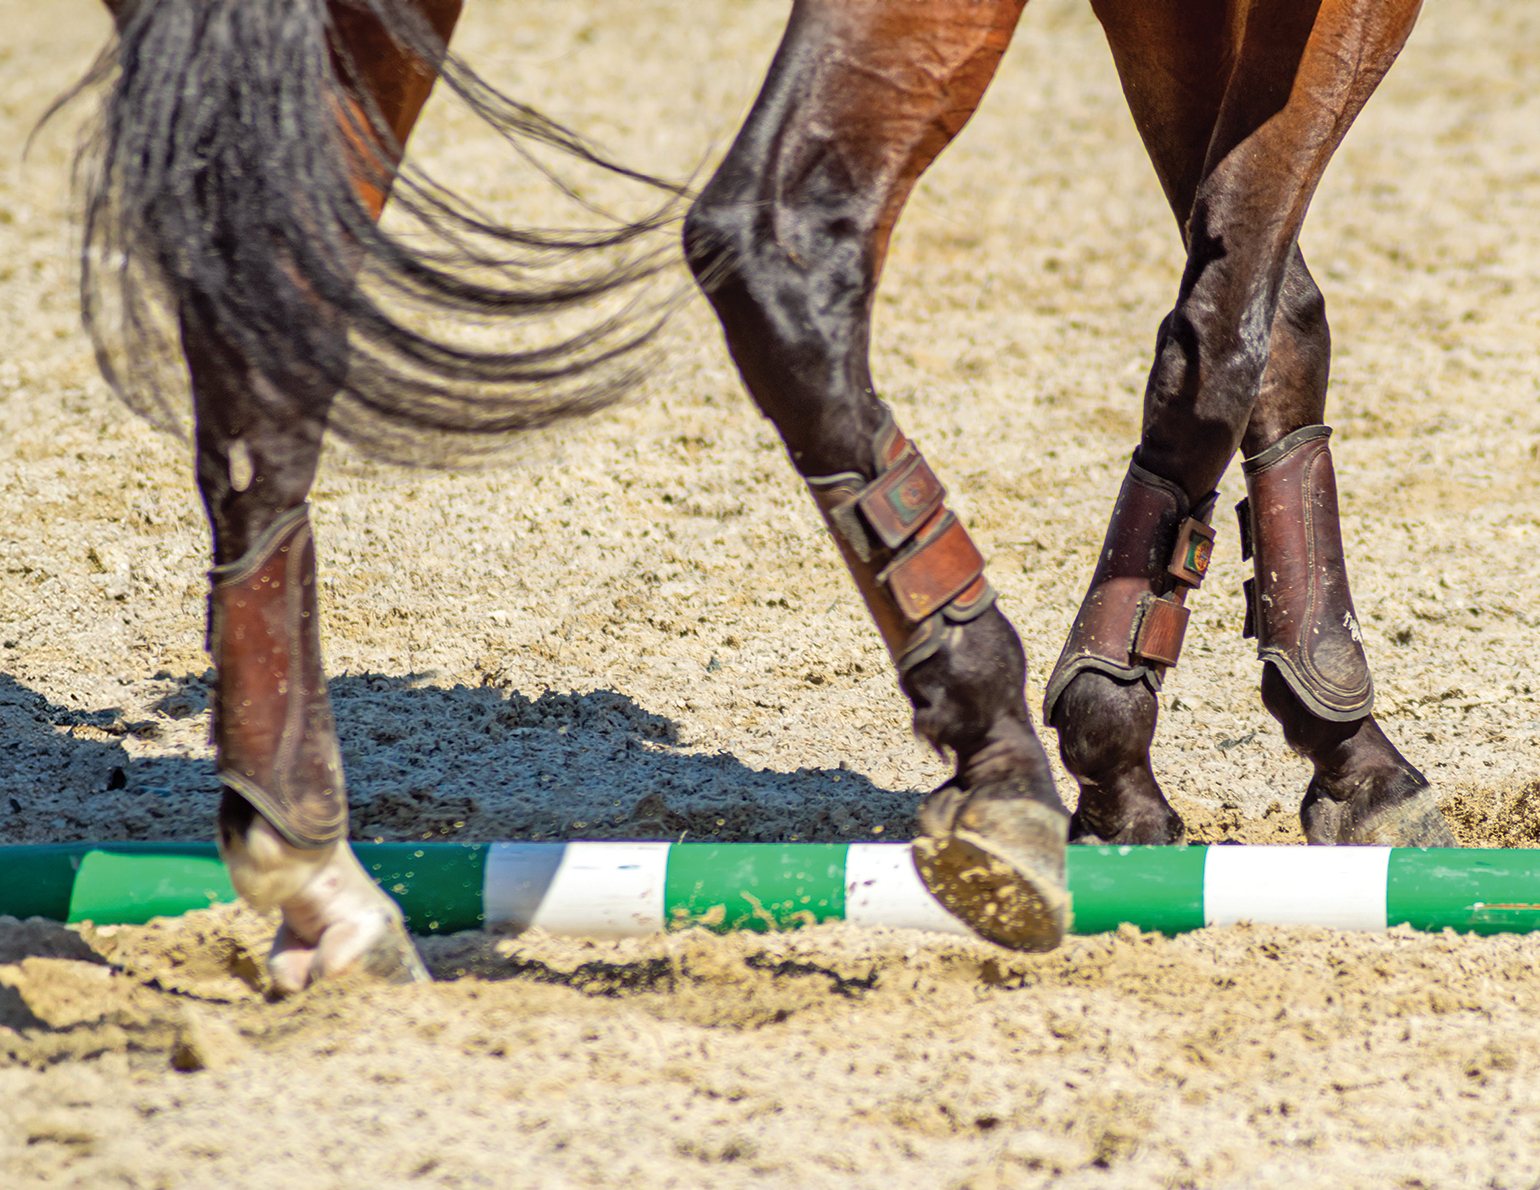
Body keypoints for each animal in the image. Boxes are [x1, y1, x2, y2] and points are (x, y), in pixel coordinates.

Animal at [63, 0, 1452, 992]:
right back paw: (991, 747)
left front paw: (1152, 744)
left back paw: (315, 872)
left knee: (261, 345)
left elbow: (1255, 307)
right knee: (776, 245)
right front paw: (1310, 745)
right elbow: (1231, 319)